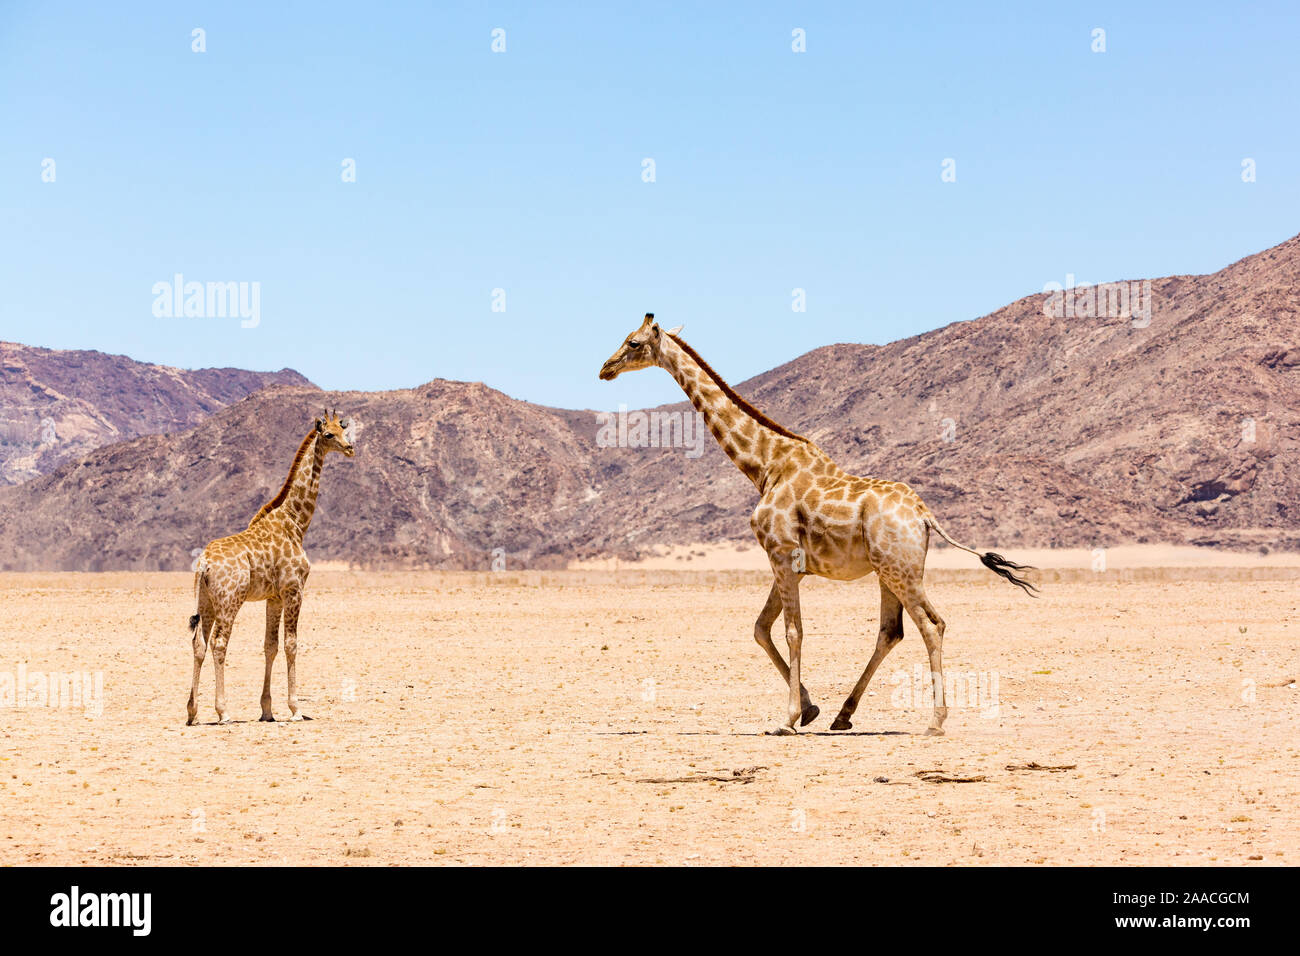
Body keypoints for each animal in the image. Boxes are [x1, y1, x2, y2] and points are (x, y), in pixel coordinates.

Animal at [185, 410, 357, 726]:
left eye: (343, 429)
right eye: (329, 435)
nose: (351, 449)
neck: (296, 522)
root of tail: (203, 563)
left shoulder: (273, 597)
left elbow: (270, 646)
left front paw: (267, 710)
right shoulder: (293, 589)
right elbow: (291, 643)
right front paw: (295, 709)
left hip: (206, 602)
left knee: (199, 644)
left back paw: (192, 712)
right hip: (230, 600)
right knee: (219, 644)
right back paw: (223, 712)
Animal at [599, 314, 1036, 736]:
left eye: (633, 342)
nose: (605, 368)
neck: (764, 466)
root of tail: (924, 514)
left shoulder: (780, 554)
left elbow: (792, 631)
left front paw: (788, 719)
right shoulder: (790, 564)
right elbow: (760, 628)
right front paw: (810, 710)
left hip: (901, 571)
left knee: (930, 626)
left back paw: (934, 721)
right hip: (891, 571)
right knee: (895, 630)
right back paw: (844, 715)